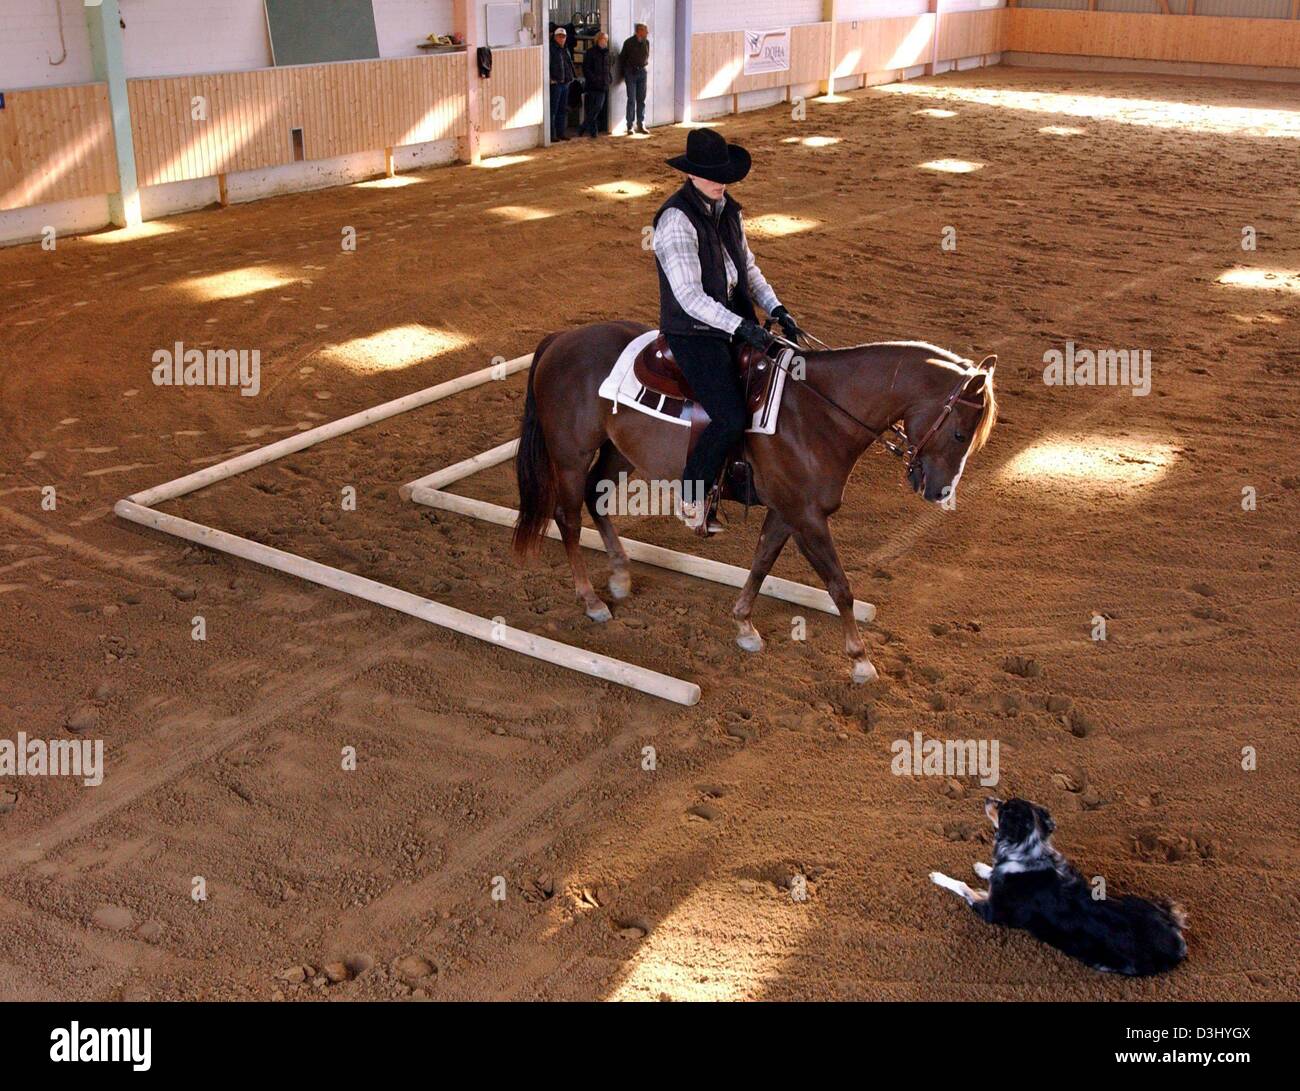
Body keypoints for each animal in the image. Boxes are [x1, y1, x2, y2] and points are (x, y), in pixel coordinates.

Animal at [511, 321, 998, 684]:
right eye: (959, 433)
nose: (939, 492)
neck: (819, 413)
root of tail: (561, 338)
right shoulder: (807, 518)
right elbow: (839, 585)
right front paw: (860, 661)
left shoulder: (787, 513)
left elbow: (762, 562)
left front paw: (744, 625)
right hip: (570, 455)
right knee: (568, 518)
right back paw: (591, 599)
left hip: (619, 451)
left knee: (597, 498)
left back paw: (618, 575)